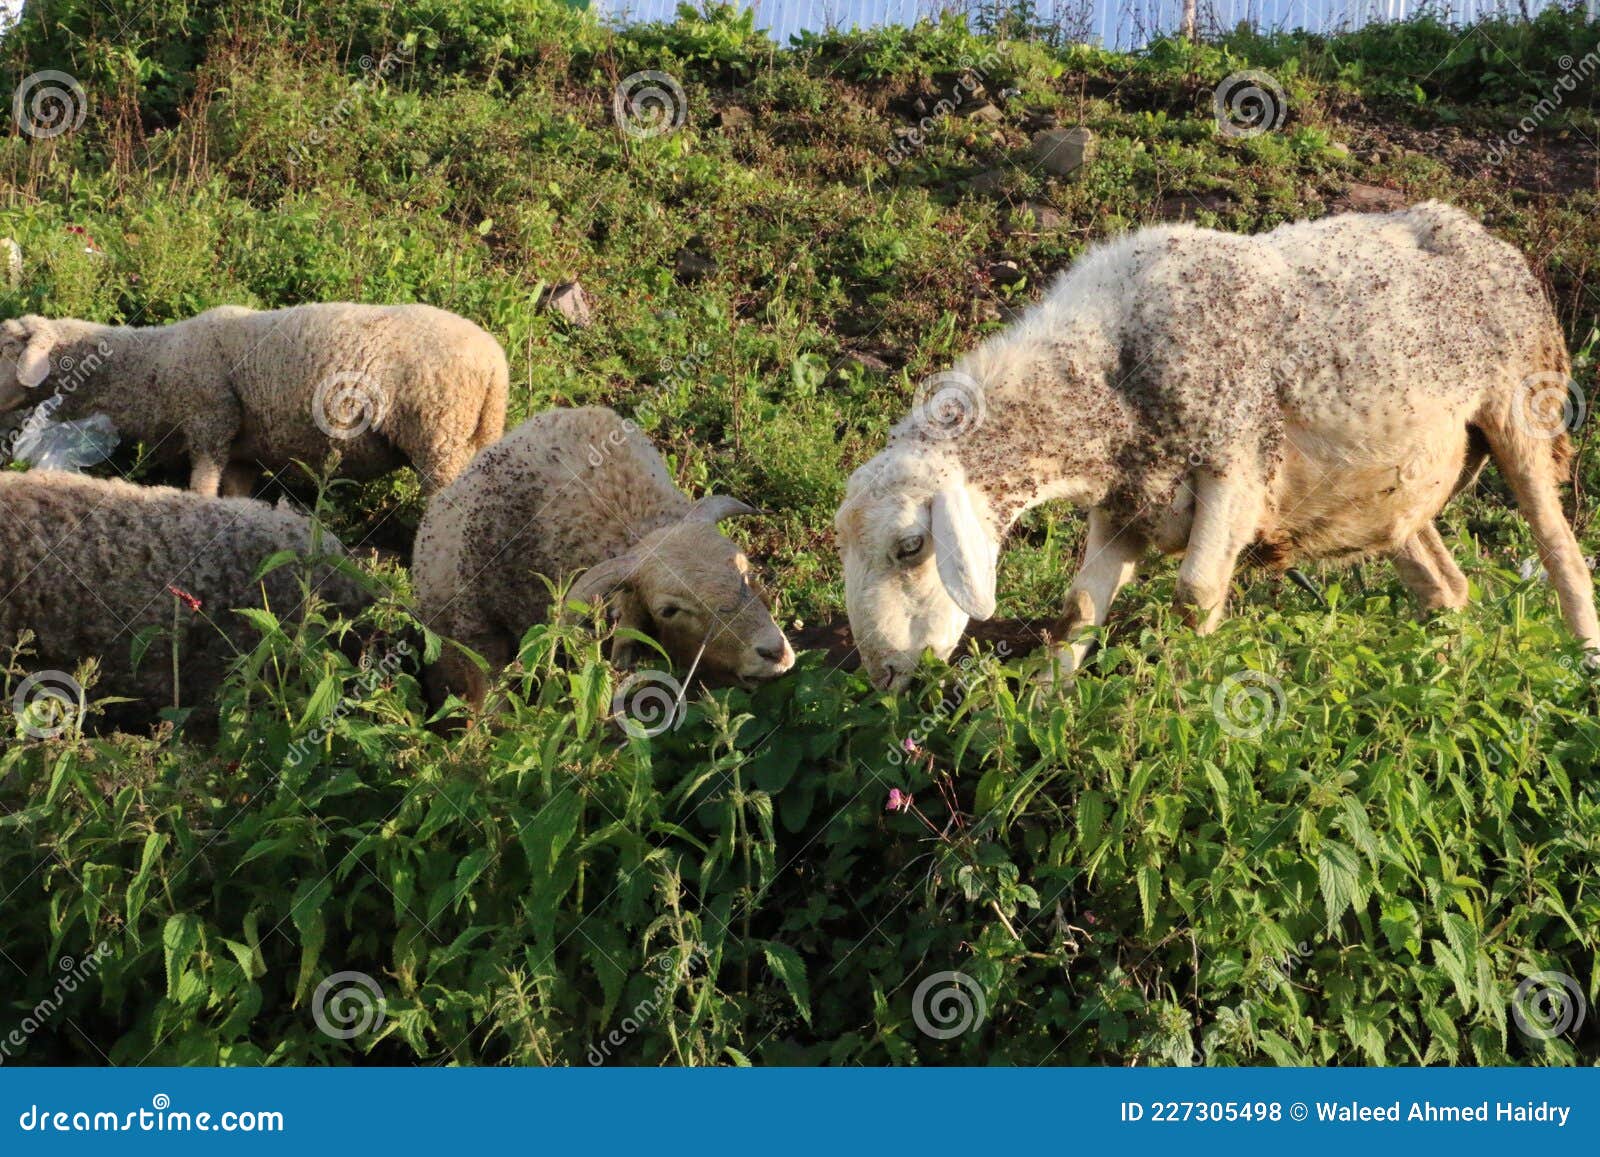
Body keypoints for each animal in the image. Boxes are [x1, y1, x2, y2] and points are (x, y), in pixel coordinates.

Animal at [0, 302, 509, 497]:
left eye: (5, 347)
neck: (152, 368)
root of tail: (496, 365)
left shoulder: (210, 422)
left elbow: (201, 485)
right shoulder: (243, 453)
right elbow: (234, 492)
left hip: (439, 438)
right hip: (469, 442)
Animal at [835, 202, 1600, 691]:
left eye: (911, 546)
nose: (883, 675)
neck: (1111, 357)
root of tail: (1479, 233)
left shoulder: (1236, 468)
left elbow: (1193, 595)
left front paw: (1181, 707)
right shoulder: (1126, 505)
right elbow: (1076, 611)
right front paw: (1040, 720)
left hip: (1520, 409)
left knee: (1562, 556)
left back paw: (1583, 666)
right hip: (1395, 491)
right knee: (1447, 589)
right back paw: (1435, 681)